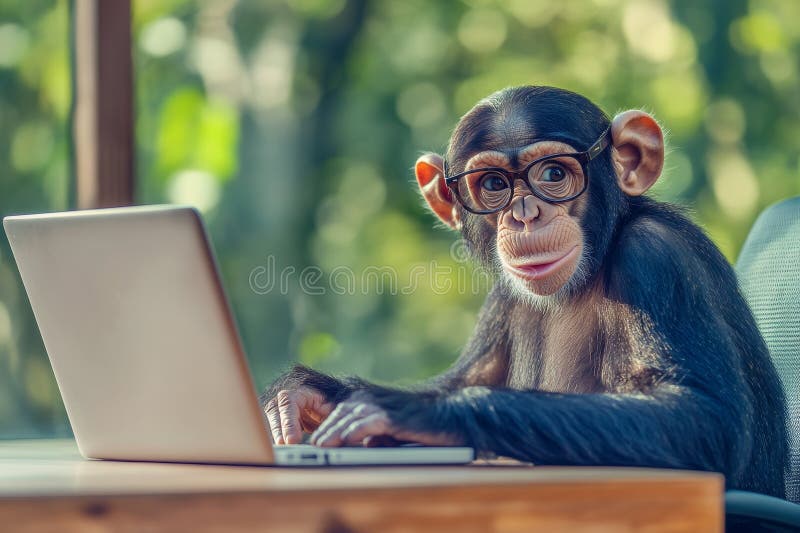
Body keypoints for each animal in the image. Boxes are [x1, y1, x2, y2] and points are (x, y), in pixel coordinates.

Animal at [261, 86, 787, 498]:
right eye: (494, 183)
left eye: (553, 174)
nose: (525, 213)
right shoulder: (501, 298)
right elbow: (460, 376)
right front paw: (300, 395)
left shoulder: (657, 258)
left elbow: (704, 414)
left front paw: (413, 411)